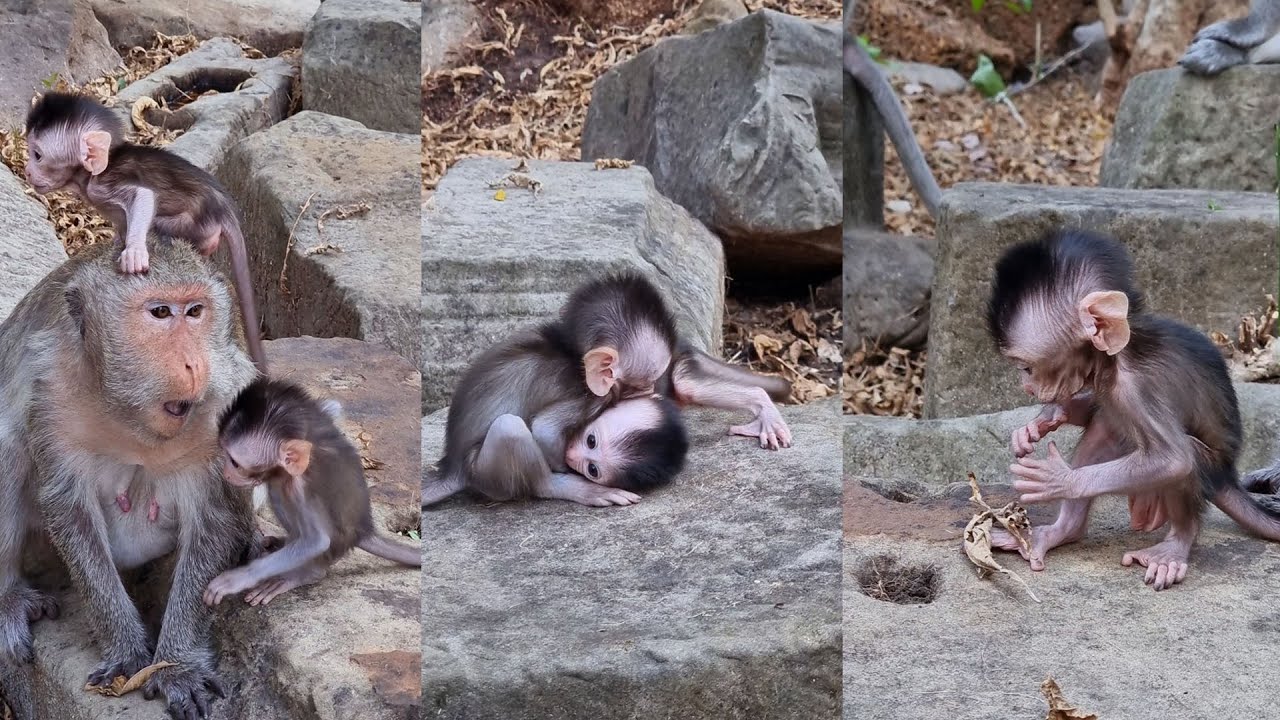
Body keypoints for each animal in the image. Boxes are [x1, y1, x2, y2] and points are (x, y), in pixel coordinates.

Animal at [0, 237, 257, 719]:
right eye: (160, 313)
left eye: (195, 311)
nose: (195, 364)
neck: (133, 418)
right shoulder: (50, 394)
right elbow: (70, 511)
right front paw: (125, 649)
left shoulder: (227, 399)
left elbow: (214, 518)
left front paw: (176, 666)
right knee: (8, 448)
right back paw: (7, 598)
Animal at [23, 91, 268, 370]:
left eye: (37, 155)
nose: (27, 170)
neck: (91, 174)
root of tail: (223, 207)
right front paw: (120, 241)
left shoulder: (105, 184)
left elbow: (143, 196)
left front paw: (134, 252)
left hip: (194, 224)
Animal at [203, 378, 420, 607]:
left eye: (234, 463)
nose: (225, 473)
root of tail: (363, 530)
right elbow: (331, 407)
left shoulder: (301, 488)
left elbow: (316, 541)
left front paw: (237, 578)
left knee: (286, 490)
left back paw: (305, 573)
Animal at [984, 228, 1280, 590]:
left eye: (1026, 368)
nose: (1027, 388)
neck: (1114, 360)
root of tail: (1228, 474)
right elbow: (1093, 411)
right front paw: (1045, 419)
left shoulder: (1136, 388)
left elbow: (1173, 460)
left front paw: (1062, 480)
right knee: (1105, 427)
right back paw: (1060, 531)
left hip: (1210, 468)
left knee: (1188, 456)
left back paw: (1175, 545)